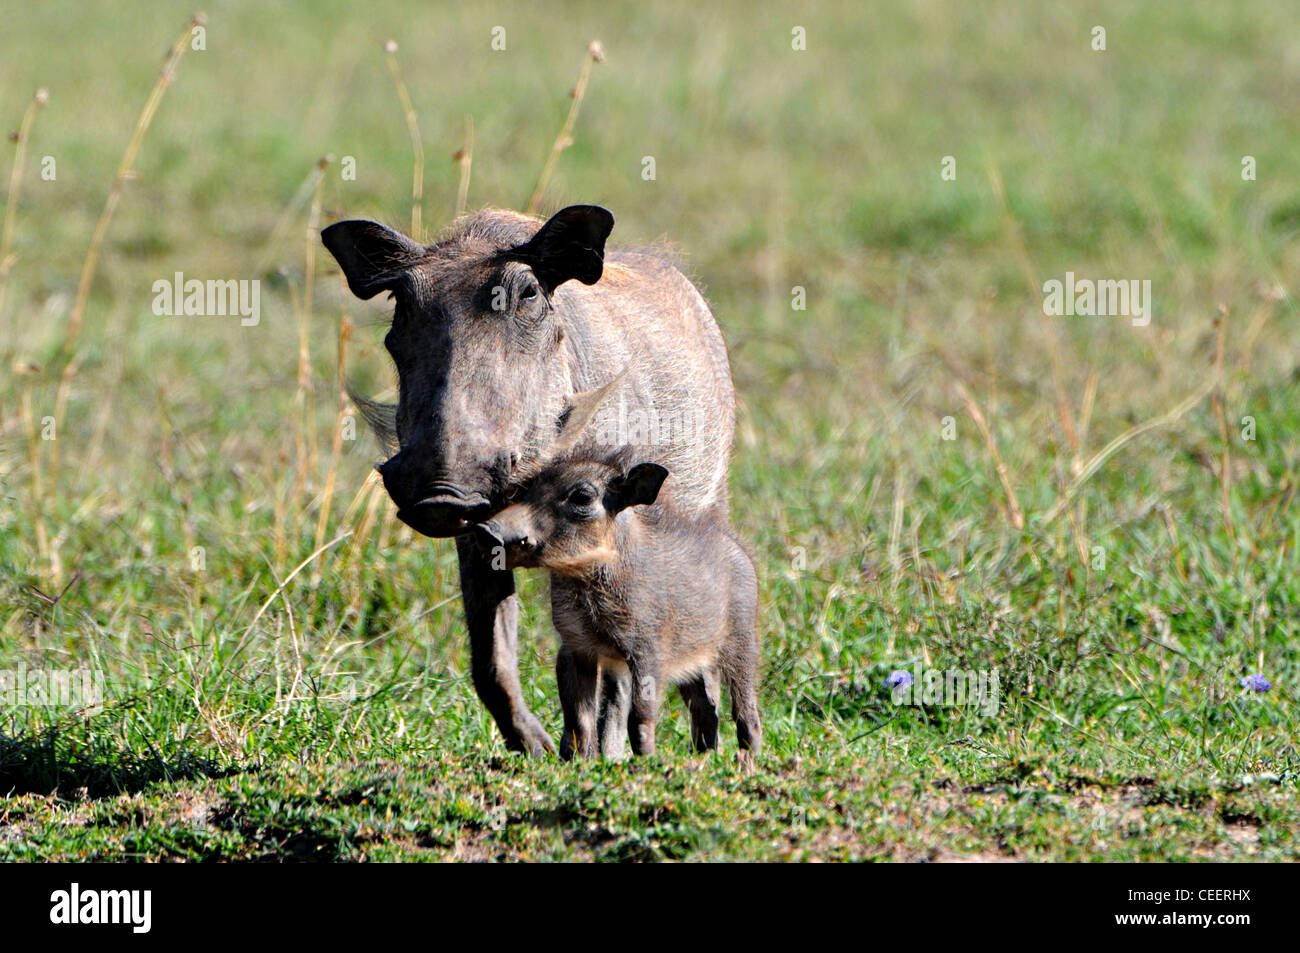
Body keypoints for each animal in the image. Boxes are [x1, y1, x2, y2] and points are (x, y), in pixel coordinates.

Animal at [321, 206, 736, 756]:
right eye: (400, 302)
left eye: (530, 294)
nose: (439, 495)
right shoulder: (480, 535)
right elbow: (492, 660)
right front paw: (538, 750)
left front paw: (587, 753)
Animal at [472, 450, 762, 763]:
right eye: (530, 487)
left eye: (583, 497)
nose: (485, 530)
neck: (588, 578)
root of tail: (738, 548)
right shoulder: (578, 648)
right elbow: (579, 717)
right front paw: (582, 763)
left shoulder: (647, 651)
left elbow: (639, 716)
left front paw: (644, 762)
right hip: (692, 660)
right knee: (707, 710)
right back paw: (704, 759)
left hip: (740, 644)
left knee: (746, 709)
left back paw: (749, 760)